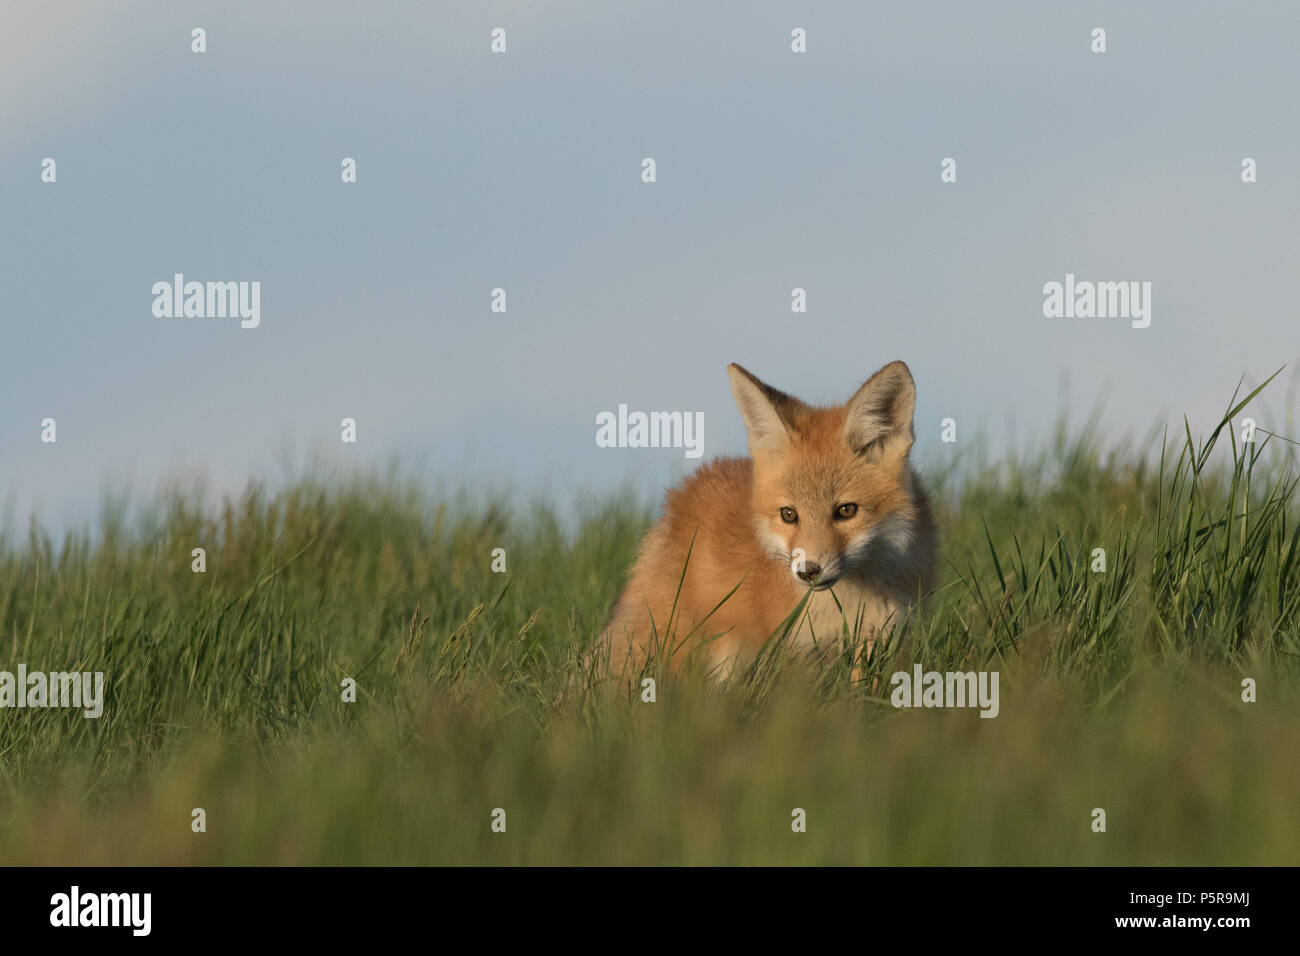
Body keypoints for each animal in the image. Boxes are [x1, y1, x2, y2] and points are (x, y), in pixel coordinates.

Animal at [600, 360, 937, 683]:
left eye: (846, 511)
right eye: (789, 515)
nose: (807, 571)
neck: (849, 603)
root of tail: (680, 495)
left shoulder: (879, 643)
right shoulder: (792, 655)